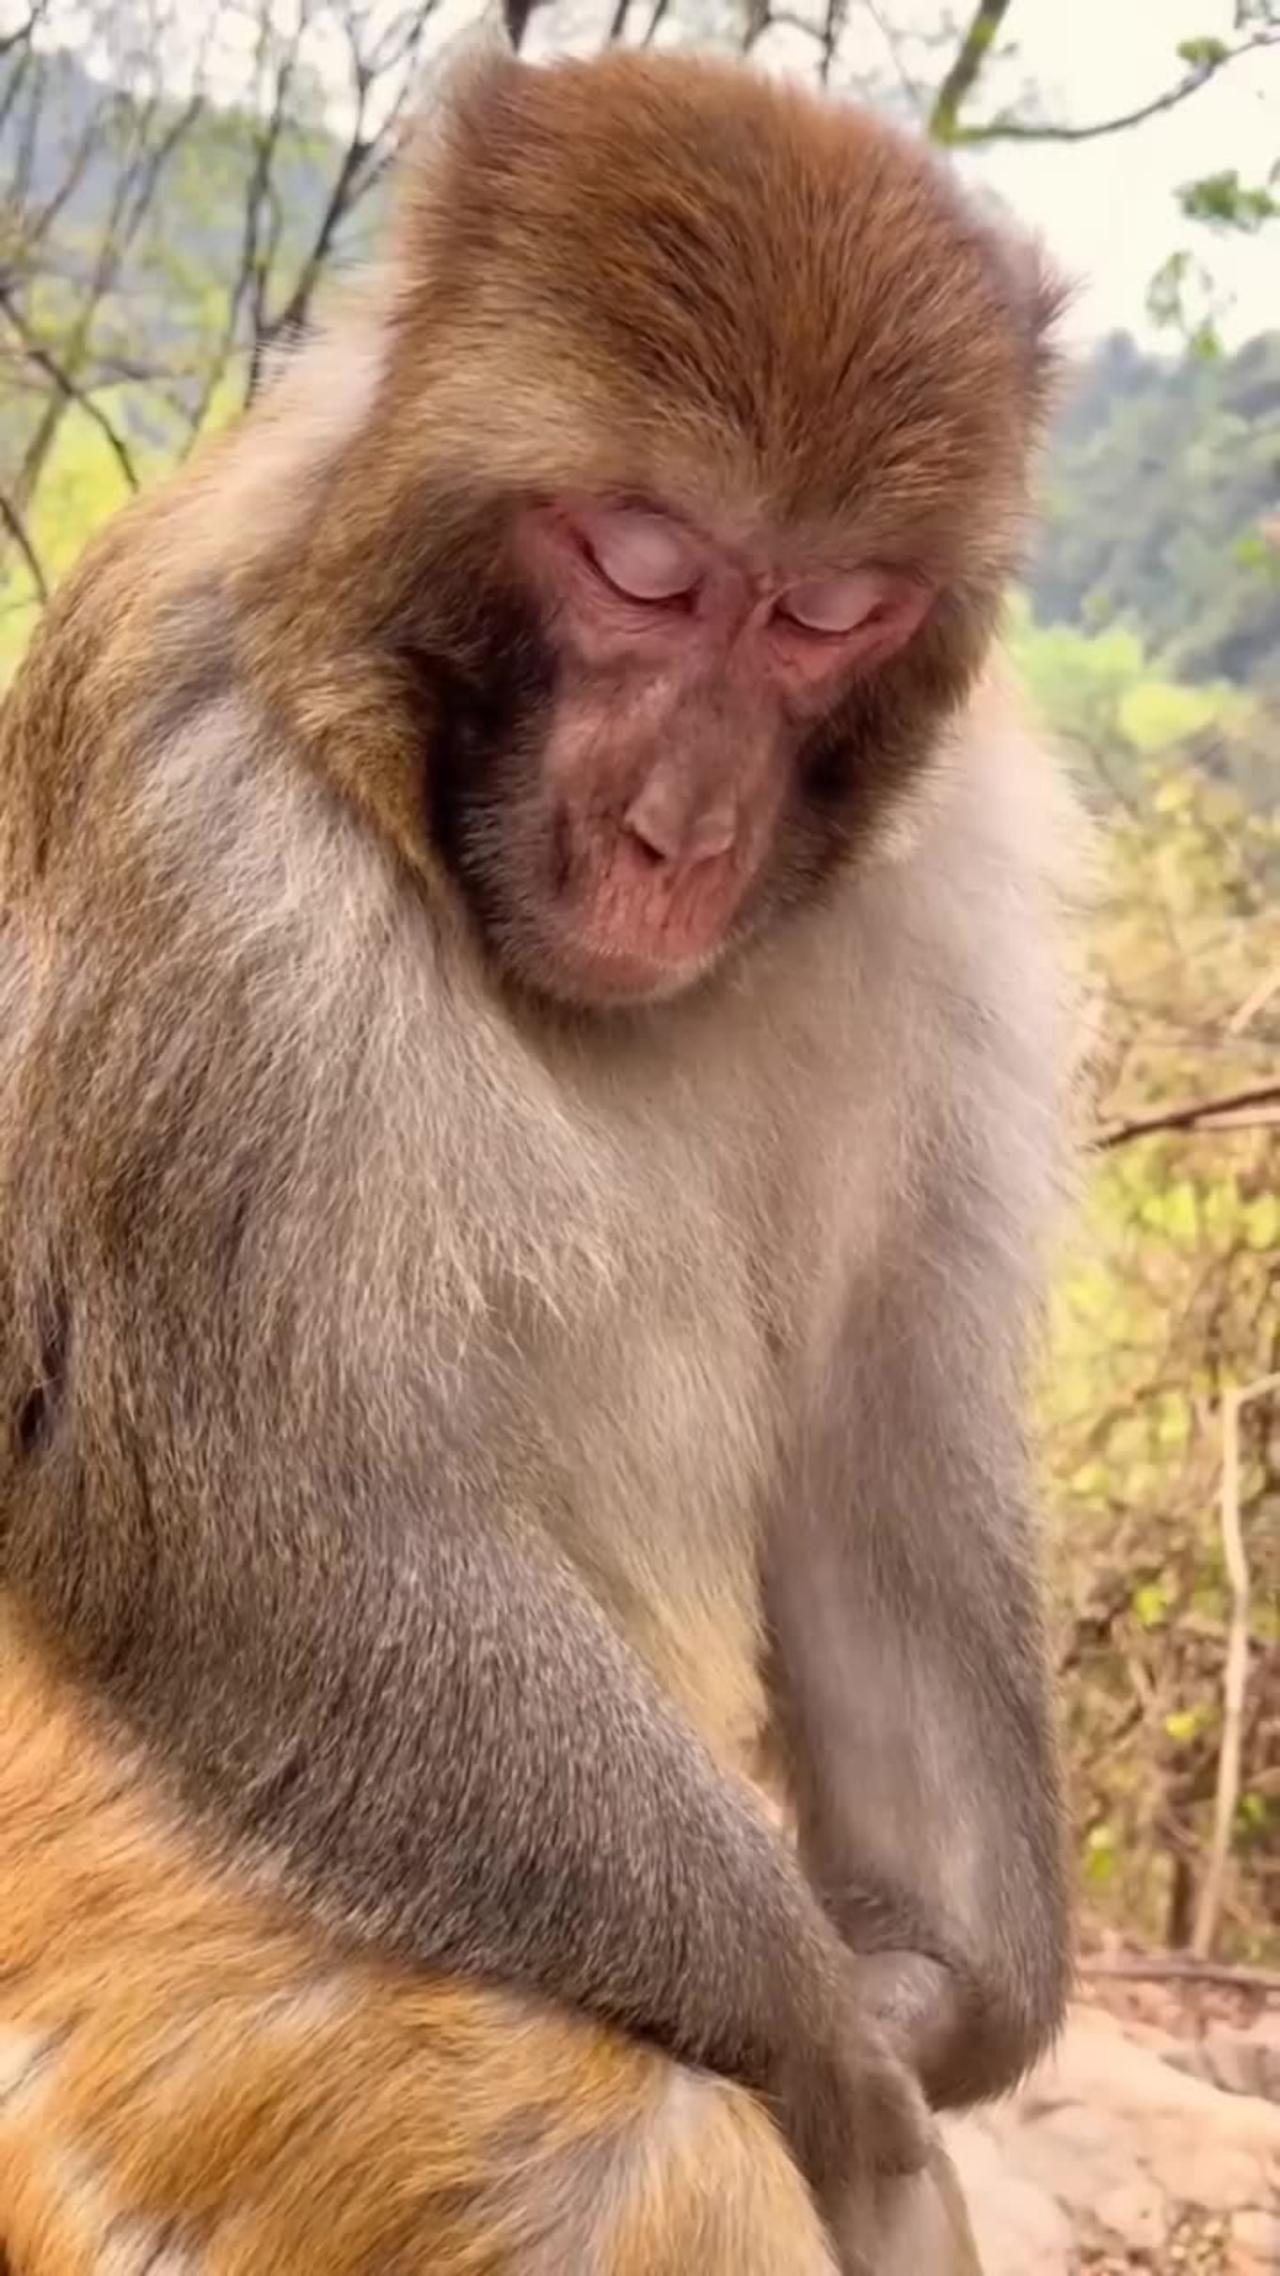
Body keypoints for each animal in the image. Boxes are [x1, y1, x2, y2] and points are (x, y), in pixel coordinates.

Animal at [0, 38, 1076, 2272]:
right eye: (642, 569)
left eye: (825, 612)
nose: (679, 825)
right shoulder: (198, 807)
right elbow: (246, 1523)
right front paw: (822, 2033)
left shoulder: (940, 867)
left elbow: (883, 1426)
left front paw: (943, 1998)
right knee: (626, 2153)